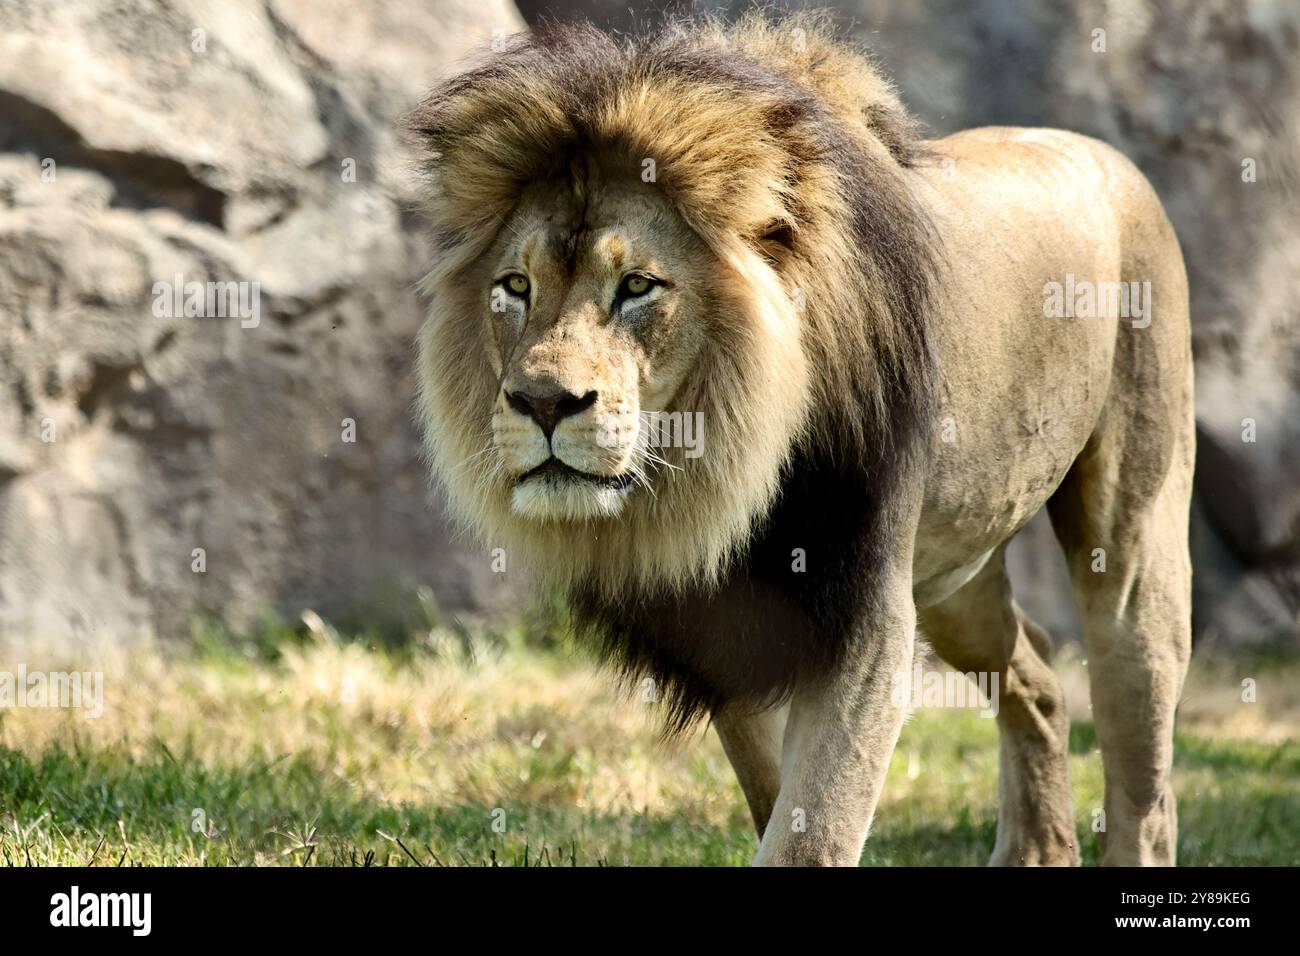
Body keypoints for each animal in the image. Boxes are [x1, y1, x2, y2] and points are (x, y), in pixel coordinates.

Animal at [409, 14, 1194, 867]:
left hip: (1129, 551)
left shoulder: (864, 619)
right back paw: (1036, 848)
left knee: (1142, 765)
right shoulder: (728, 637)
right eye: (515, 288)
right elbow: (774, 800)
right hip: (959, 575)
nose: (543, 402)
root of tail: (1106, 154)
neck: (720, 477)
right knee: (1037, 664)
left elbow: (812, 829)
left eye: (638, 287)